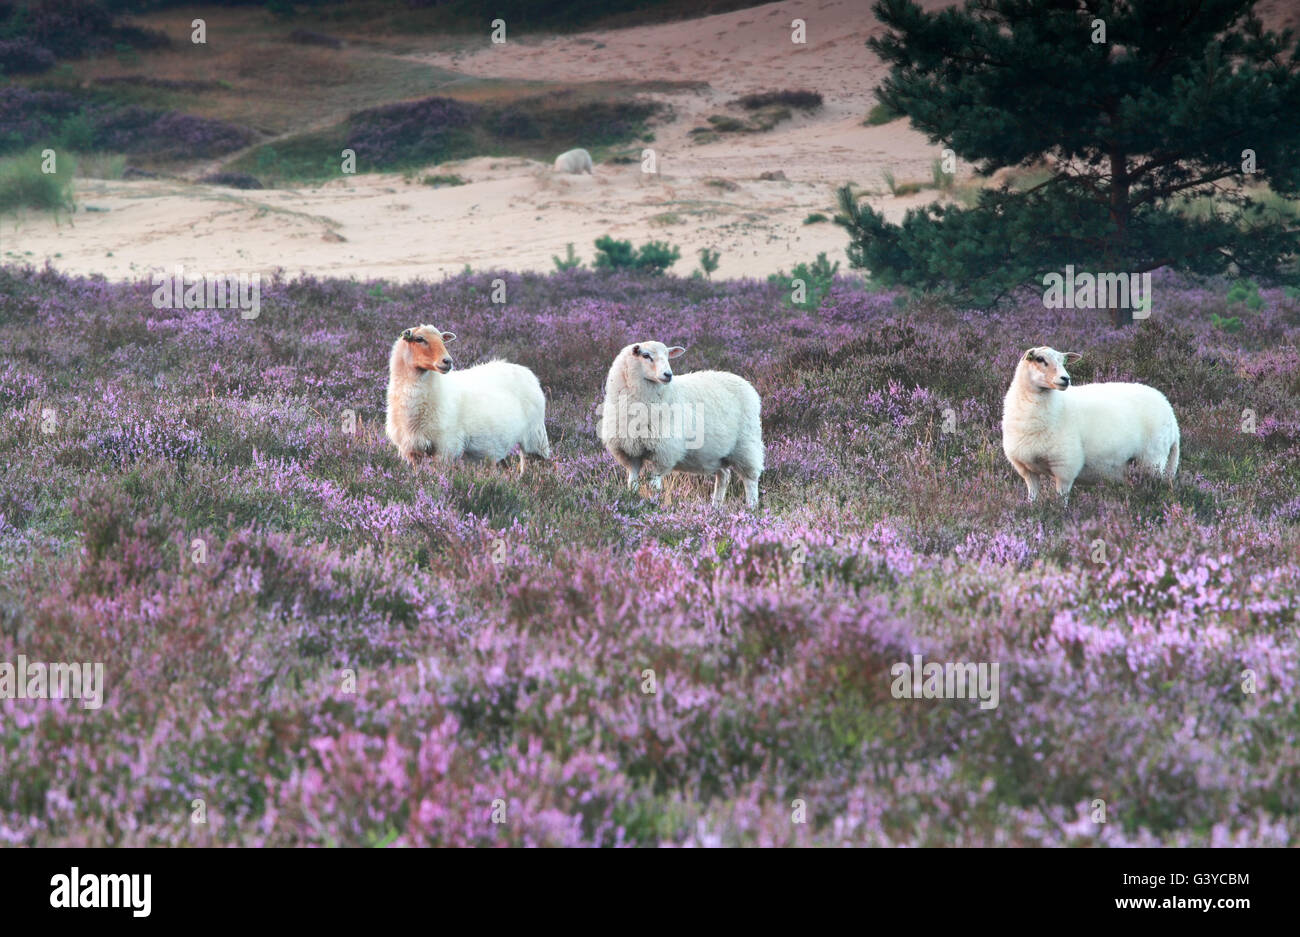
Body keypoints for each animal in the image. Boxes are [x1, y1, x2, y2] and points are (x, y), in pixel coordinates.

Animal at [385, 324, 551, 471]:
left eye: (442, 340)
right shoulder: (412, 451)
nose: (448, 361)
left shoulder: (445, 447)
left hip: (536, 438)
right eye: (419, 339)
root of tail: (525, 370)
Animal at [599, 341, 764, 507]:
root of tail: (745, 382)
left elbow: (654, 485)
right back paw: (715, 508)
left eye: (667, 356)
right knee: (724, 476)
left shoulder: (663, 452)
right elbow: (632, 483)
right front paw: (632, 499)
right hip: (717, 454)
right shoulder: (630, 452)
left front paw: (655, 503)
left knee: (750, 479)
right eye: (646, 355)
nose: (668, 375)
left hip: (745, 445)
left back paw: (751, 507)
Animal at [1002, 346, 1180, 505]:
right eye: (1040, 359)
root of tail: (1171, 415)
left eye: (1063, 361)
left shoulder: (1065, 466)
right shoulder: (1027, 469)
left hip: (1153, 459)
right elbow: (1032, 497)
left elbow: (1061, 499)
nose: (1066, 379)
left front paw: (1060, 513)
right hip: (1135, 465)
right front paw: (1031, 510)